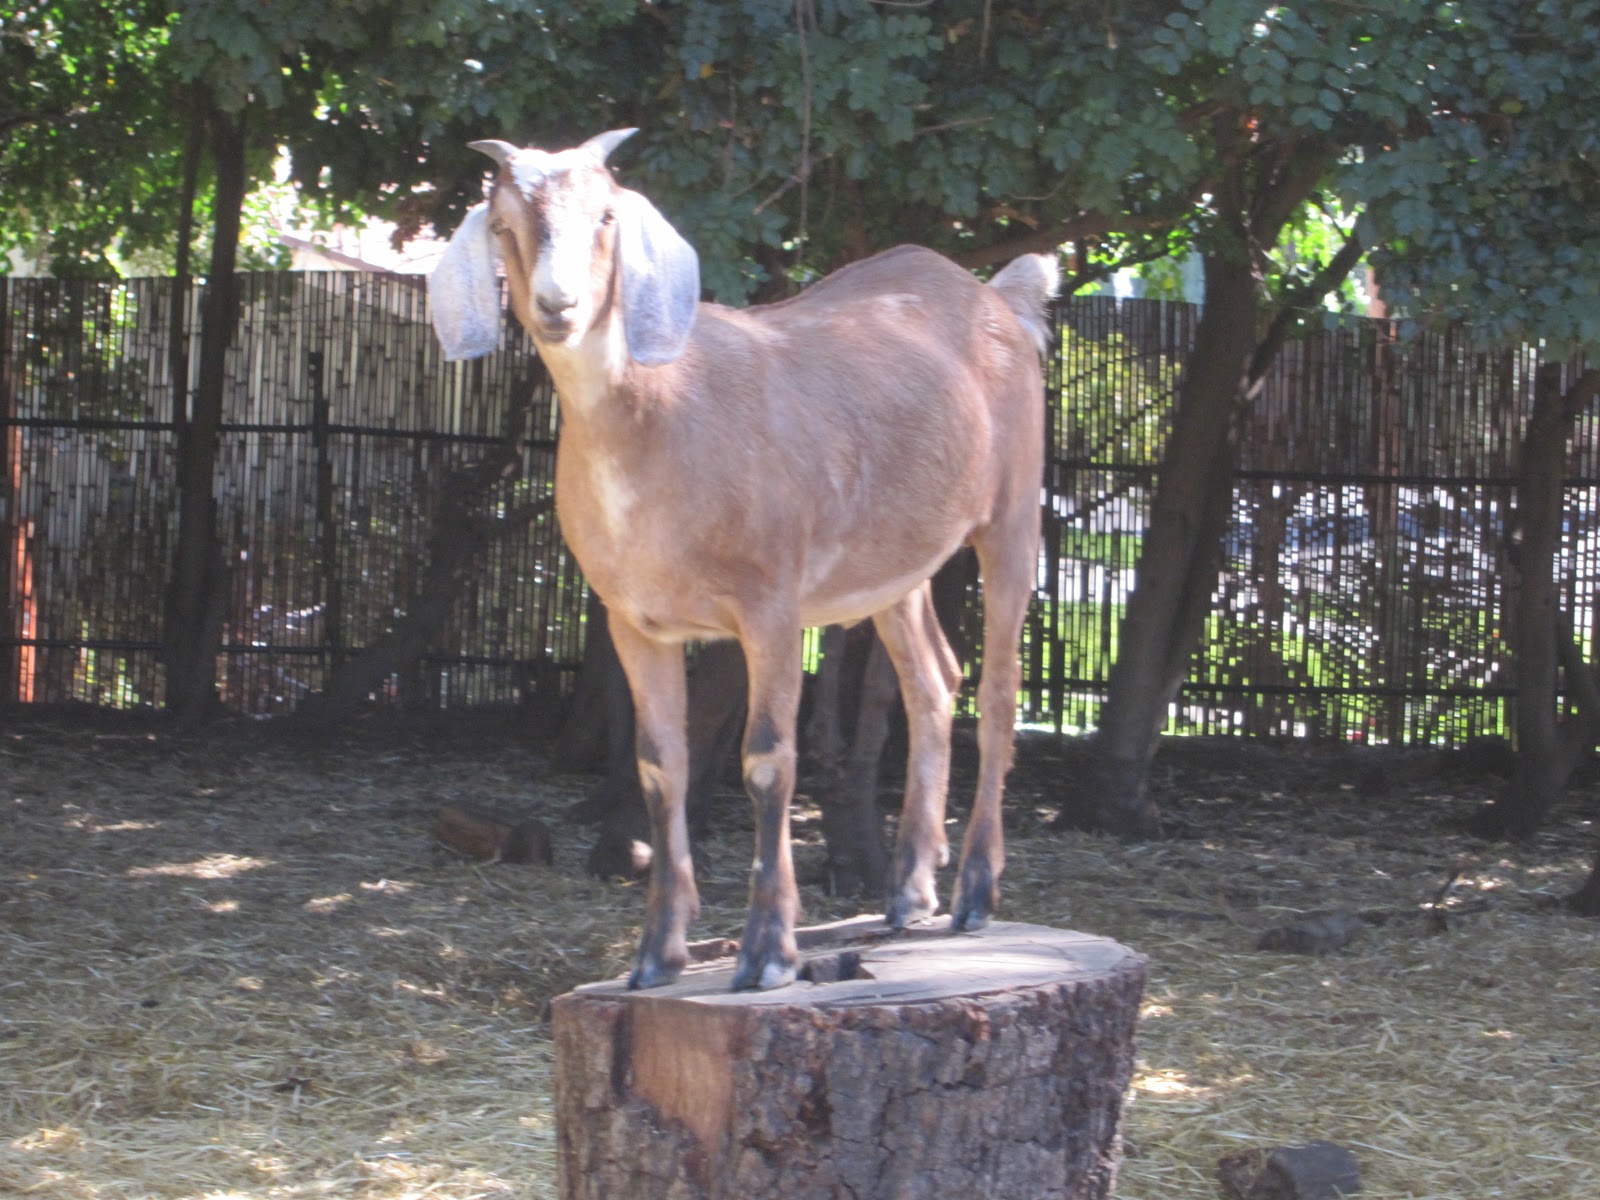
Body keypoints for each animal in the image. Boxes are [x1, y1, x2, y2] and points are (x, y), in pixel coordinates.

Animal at [429, 129, 1057, 991]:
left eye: (606, 216)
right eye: (502, 223)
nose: (558, 306)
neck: (664, 417)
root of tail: (998, 297)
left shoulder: (771, 606)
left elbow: (766, 759)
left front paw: (767, 953)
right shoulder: (634, 620)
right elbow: (661, 765)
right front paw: (656, 955)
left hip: (1013, 513)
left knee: (997, 692)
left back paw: (974, 893)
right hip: (894, 566)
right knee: (934, 678)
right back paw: (908, 891)